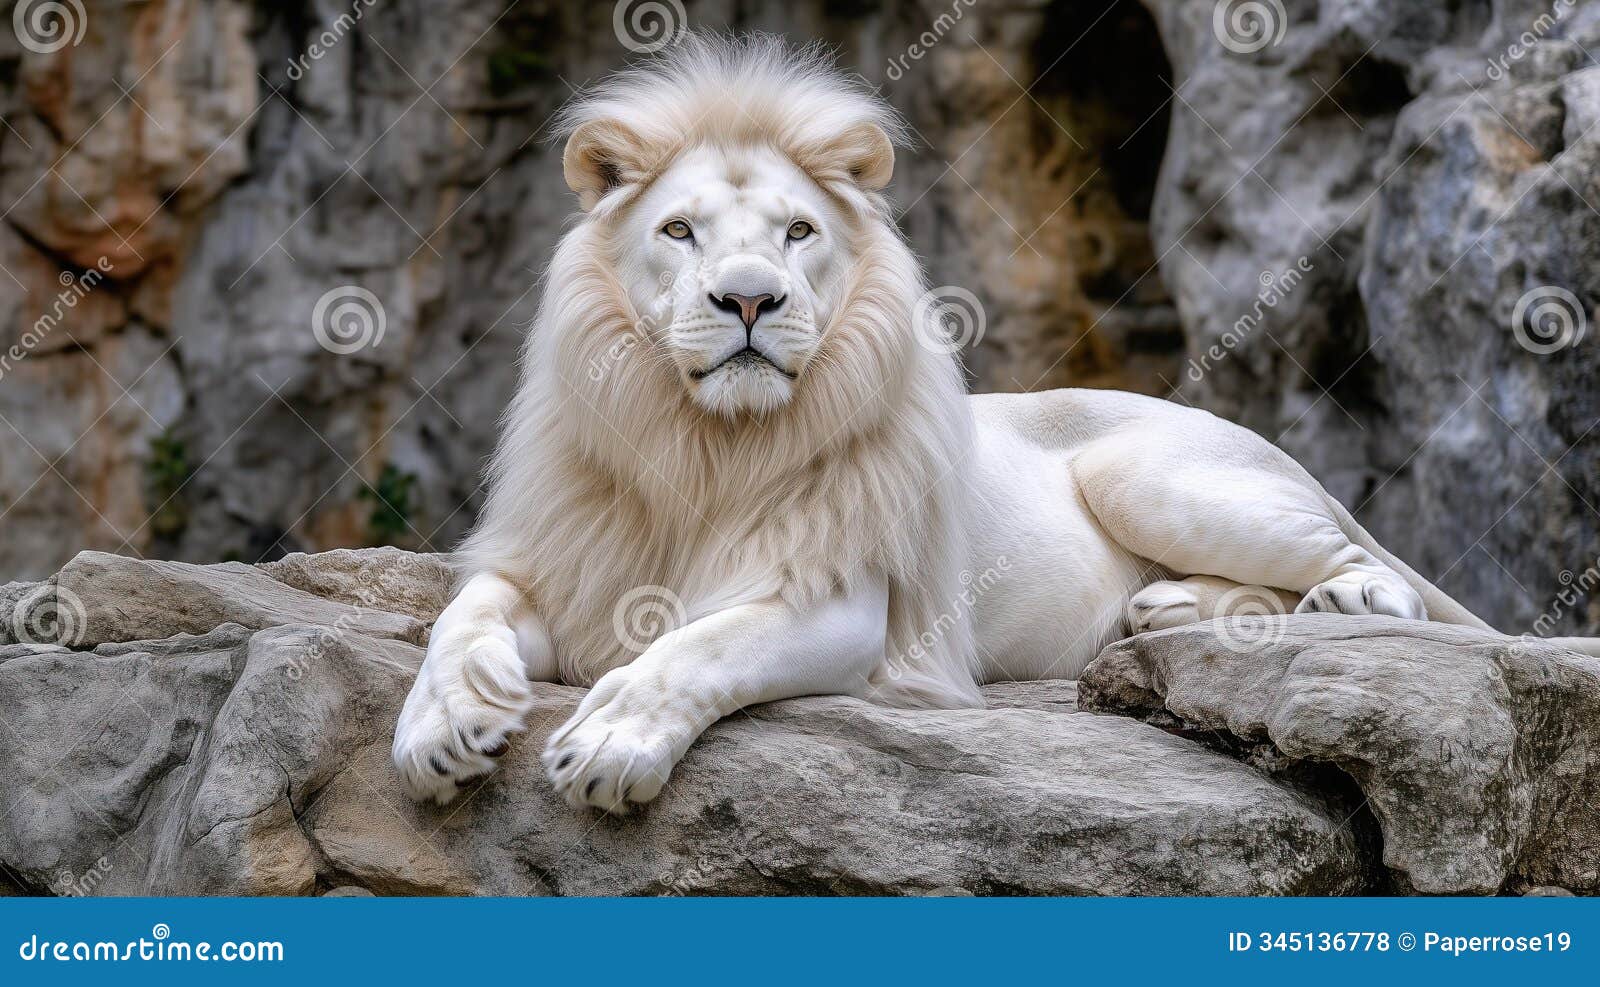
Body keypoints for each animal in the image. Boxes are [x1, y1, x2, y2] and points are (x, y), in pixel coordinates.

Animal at [393, 34, 1599, 811]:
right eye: (680, 231)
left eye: (795, 232)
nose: (748, 301)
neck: (702, 441)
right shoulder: (557, 564)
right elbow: (461, 621)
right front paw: (441, 730)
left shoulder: (842, 603)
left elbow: (695, 647)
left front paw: (607, 742)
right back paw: (1160, 612)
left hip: (1153, 472)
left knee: (1378, 569)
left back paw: (1325, 599)